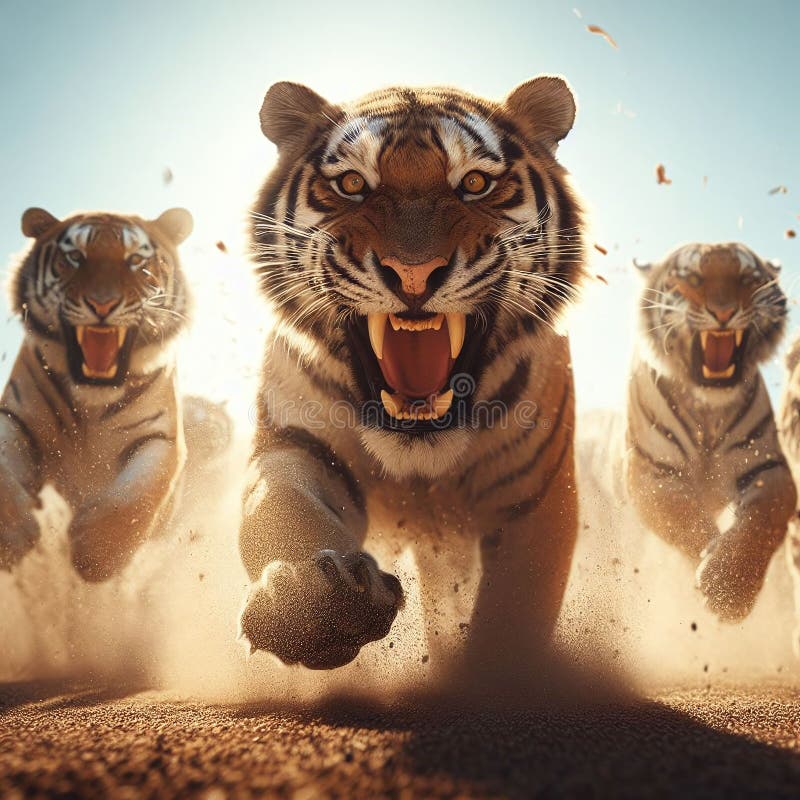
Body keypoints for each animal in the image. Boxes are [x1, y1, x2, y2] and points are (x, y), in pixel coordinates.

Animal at [0, 206, 206, 582]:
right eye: (75, 258)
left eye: (136, 260)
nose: (102, 304)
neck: (90, 403)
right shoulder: (16, 420)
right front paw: (14, 540)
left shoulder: (160, 437)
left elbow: (138, 493)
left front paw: (96, 555)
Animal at [238, 75, 587, 686]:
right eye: (353, 184)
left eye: (474, 183)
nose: (414, 274)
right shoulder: (296, 443)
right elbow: (283, 511)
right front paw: (314, 605)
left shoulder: (534, 501)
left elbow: (513, 611)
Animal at [626, 242, 795, 622]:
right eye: (693, 279)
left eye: (747, 279)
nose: (723, 312)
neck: (708, 410)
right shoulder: (652, 472)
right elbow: (684, 519)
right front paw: (714, 576)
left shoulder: (769, 467)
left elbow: (762, 519)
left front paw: (731, 588)